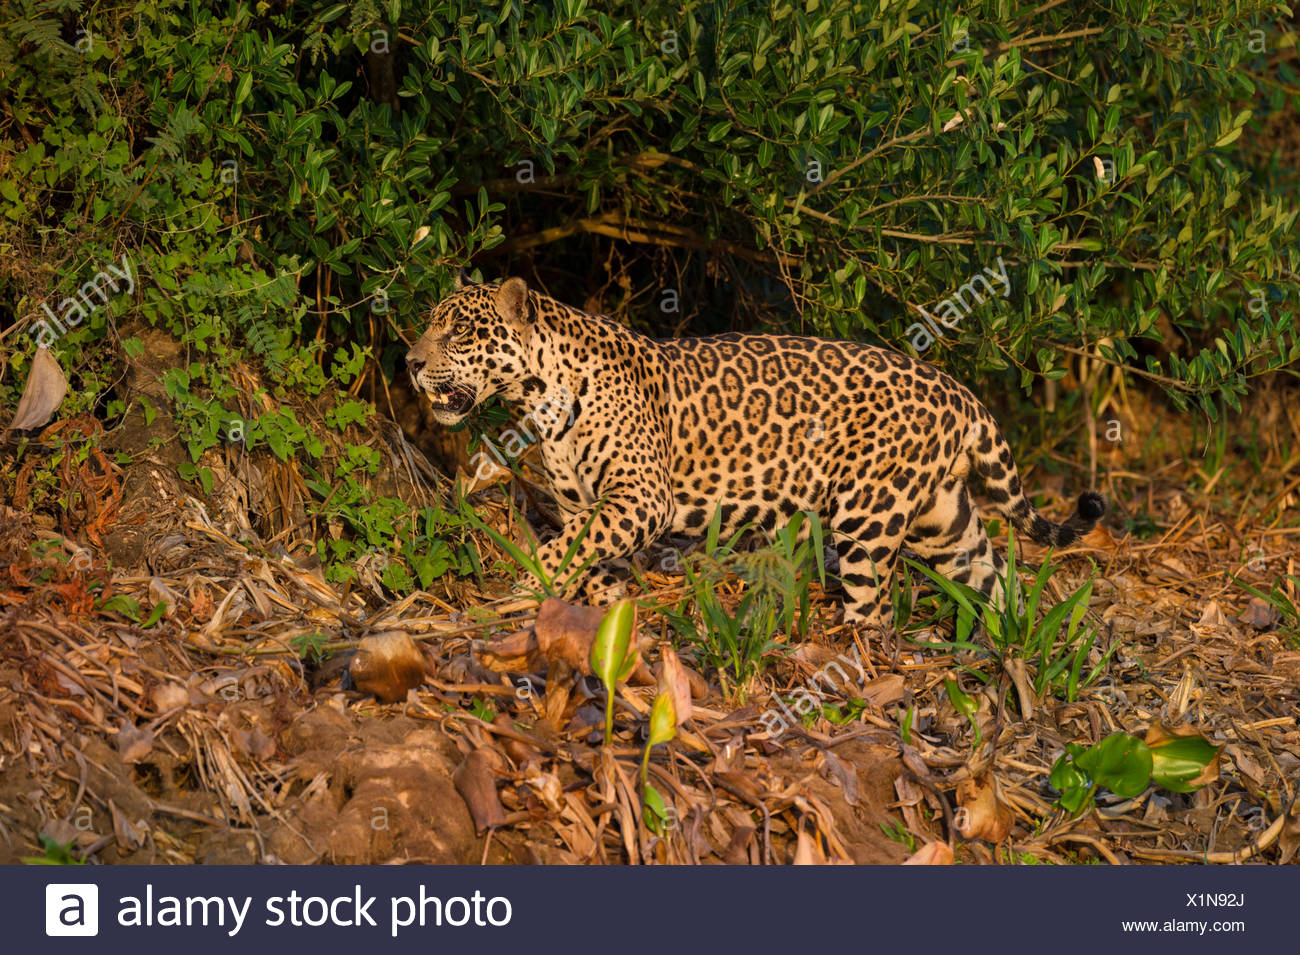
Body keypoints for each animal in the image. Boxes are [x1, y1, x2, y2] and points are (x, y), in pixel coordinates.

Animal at [405, 273, 1105, 625]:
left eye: (458, 331)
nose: (410, 362)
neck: (540, 396)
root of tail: (961, 392)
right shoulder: (588, 504)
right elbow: (586, 551)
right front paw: (601, 612)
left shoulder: (641, 498)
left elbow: (565, 547)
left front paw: (523, 590)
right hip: (943, 518)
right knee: (993, 572)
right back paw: (1024, 639)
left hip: (868, 517)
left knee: (875, 605)